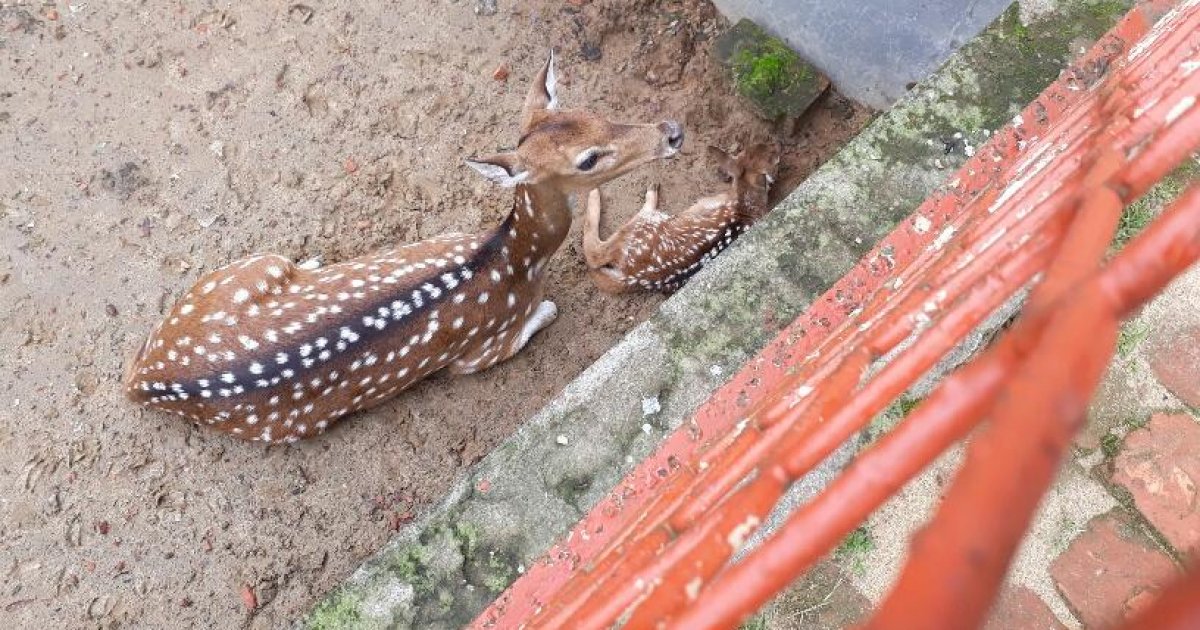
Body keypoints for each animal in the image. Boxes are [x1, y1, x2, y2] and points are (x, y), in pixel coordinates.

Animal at [123, 52, 684, 442]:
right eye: (588, 159)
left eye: (595, 111)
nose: (673, 131)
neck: (511, 259)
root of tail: (143, 382)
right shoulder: (482, 350)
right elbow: (530, 323)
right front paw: (547, 308)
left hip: (231, 274)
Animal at [581, 142, 780, 293]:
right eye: (750, 148)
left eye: (773, 158)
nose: (777, 145)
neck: (745, 204)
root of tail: (630, 277)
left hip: (644, 225)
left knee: (595, 253)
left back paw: (599, 191)